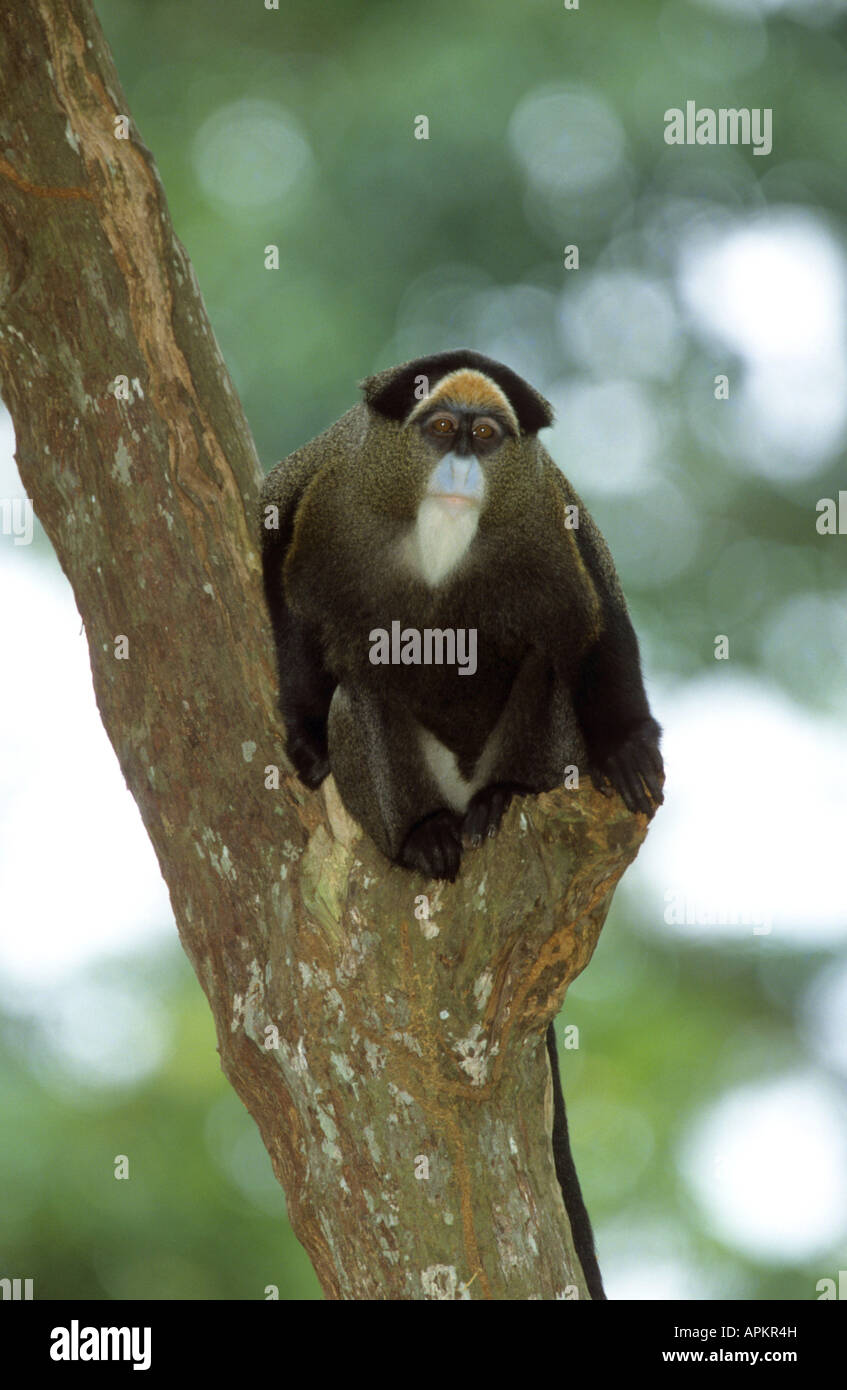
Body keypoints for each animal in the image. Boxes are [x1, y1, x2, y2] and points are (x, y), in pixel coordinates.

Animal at [259, 348, 664, 1300]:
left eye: (486, 437)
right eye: (439, 430)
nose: (460, 467)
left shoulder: (550, 518)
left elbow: (598, 629)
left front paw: (630, 746)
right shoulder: (327, 487)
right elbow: (278, 559)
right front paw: (303, 731)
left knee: (550, 670)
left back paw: (496, 807)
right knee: (362, 690)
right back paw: (425, 839)